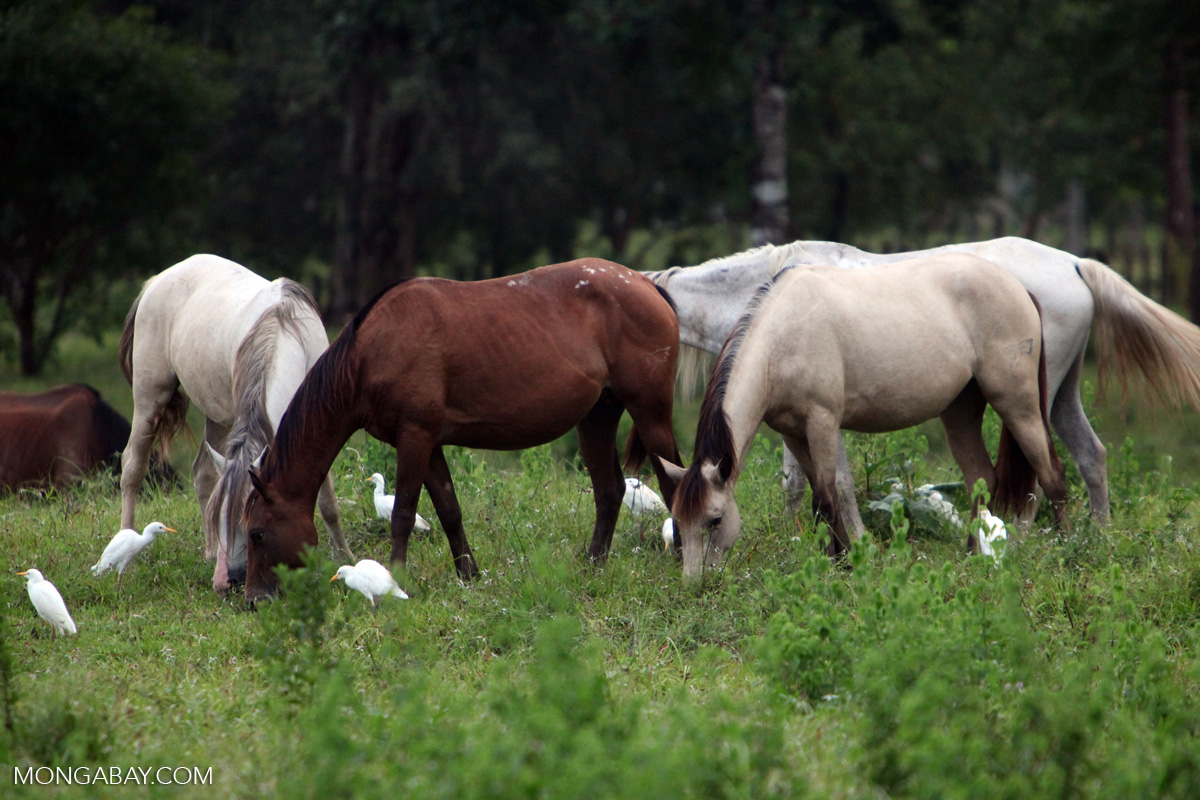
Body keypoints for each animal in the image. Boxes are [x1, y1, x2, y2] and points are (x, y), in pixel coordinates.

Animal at [118, 254, 352, 593]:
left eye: (256, 529)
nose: (225, 582)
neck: (286, 333)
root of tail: (156, 281)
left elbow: (328, 501)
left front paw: (343, 555)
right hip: (151, 398)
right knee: (132, 469)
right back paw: (129, 553)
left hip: (217, 416)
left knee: (203, 472)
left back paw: (207, 553)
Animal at [242, 259, 683, 602]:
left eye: (257, 535)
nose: (253, 601)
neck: (370, 353)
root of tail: (647, 284)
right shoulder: (428, 441)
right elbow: (449, 509)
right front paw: (468, 574)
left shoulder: (414, 437)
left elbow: (403, 512)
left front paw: (398, 577)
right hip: (596, 418)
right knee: (610, 490)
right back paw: (593, 565)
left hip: (650, 412)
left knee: (674, 482)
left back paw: (681, 557)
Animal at [650, 236, 1200, 535]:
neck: (772, 292)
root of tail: (1073, 263)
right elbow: (799, 481)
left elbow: (819, 482)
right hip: (1063, 393)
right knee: (1091, 456)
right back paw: (1096, 540)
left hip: (1031, 398)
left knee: (1040, 469)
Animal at [660, 253, 1070, 581]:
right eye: (677, 521)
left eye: (715, 519)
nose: (694, 582)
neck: (784, 337)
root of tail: (1018, 287)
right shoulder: (794, 433)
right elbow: (828, 492)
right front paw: (845, 559)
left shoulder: (823, 422)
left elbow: (825, 498)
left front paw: (839, 565)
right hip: (960, 411)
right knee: (981, 480)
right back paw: (973, 557)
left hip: (1016, 402)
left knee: (1051, 474)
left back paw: (1067, 548)